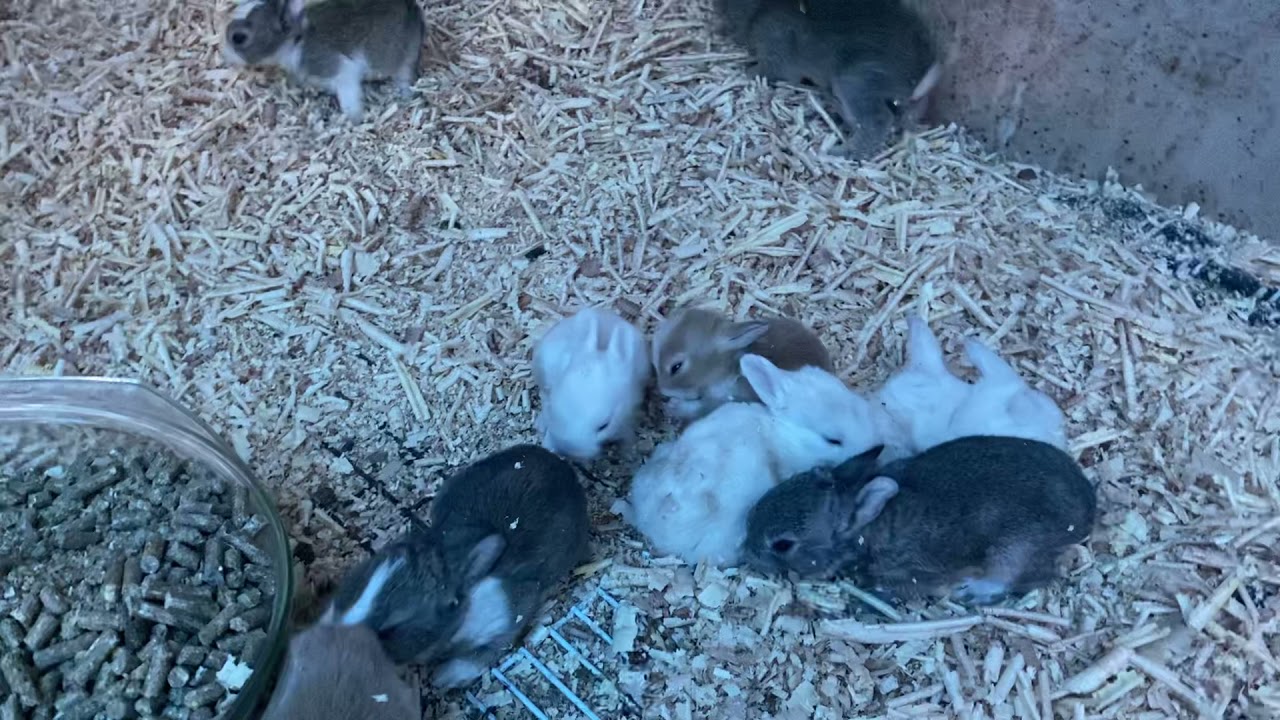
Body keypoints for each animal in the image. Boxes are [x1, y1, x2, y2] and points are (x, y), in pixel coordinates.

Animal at [223, 0, 425, 121]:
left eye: (238, 38)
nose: (224, 52)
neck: (298, 40)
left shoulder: (342, 73)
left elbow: (350, 100)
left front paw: (354, 120)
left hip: (404, 62)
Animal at [322, 445, 590, 689]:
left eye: (392, 628)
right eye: (351, 583)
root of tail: (561, 465)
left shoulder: (512, 613)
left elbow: (489, 650)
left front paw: (446, 677)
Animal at [716, 0, 939, 159]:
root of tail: (921, 69)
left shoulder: (775, 49)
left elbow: (764, 70)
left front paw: (746, 72)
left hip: (855, 84)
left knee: (877, 121)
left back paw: (840, 151)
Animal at [743, 435, 1096, 605]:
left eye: (783, 544)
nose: (747, 551)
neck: (870, 528)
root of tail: (1086, 517)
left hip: (1011, 550)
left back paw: (972, 592)